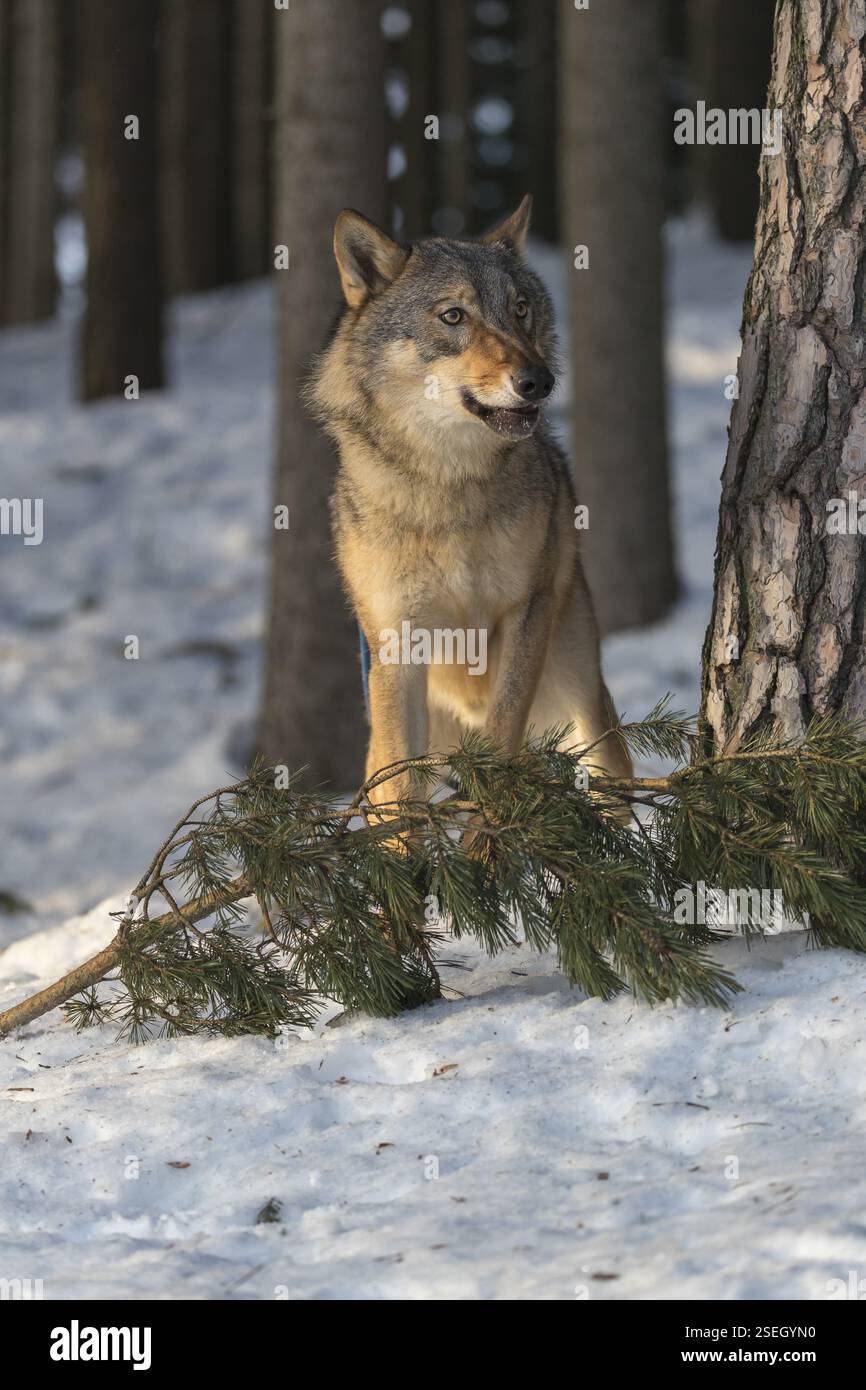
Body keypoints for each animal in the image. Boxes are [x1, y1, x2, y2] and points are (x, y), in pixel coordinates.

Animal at [308, 195, 632, 808]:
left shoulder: (524, 612)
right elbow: (402, 791)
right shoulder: (396, 643)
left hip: (593, 728)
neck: (448, 483)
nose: (539, 381)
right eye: (453, 316)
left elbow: (503, 742)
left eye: (520, 309)